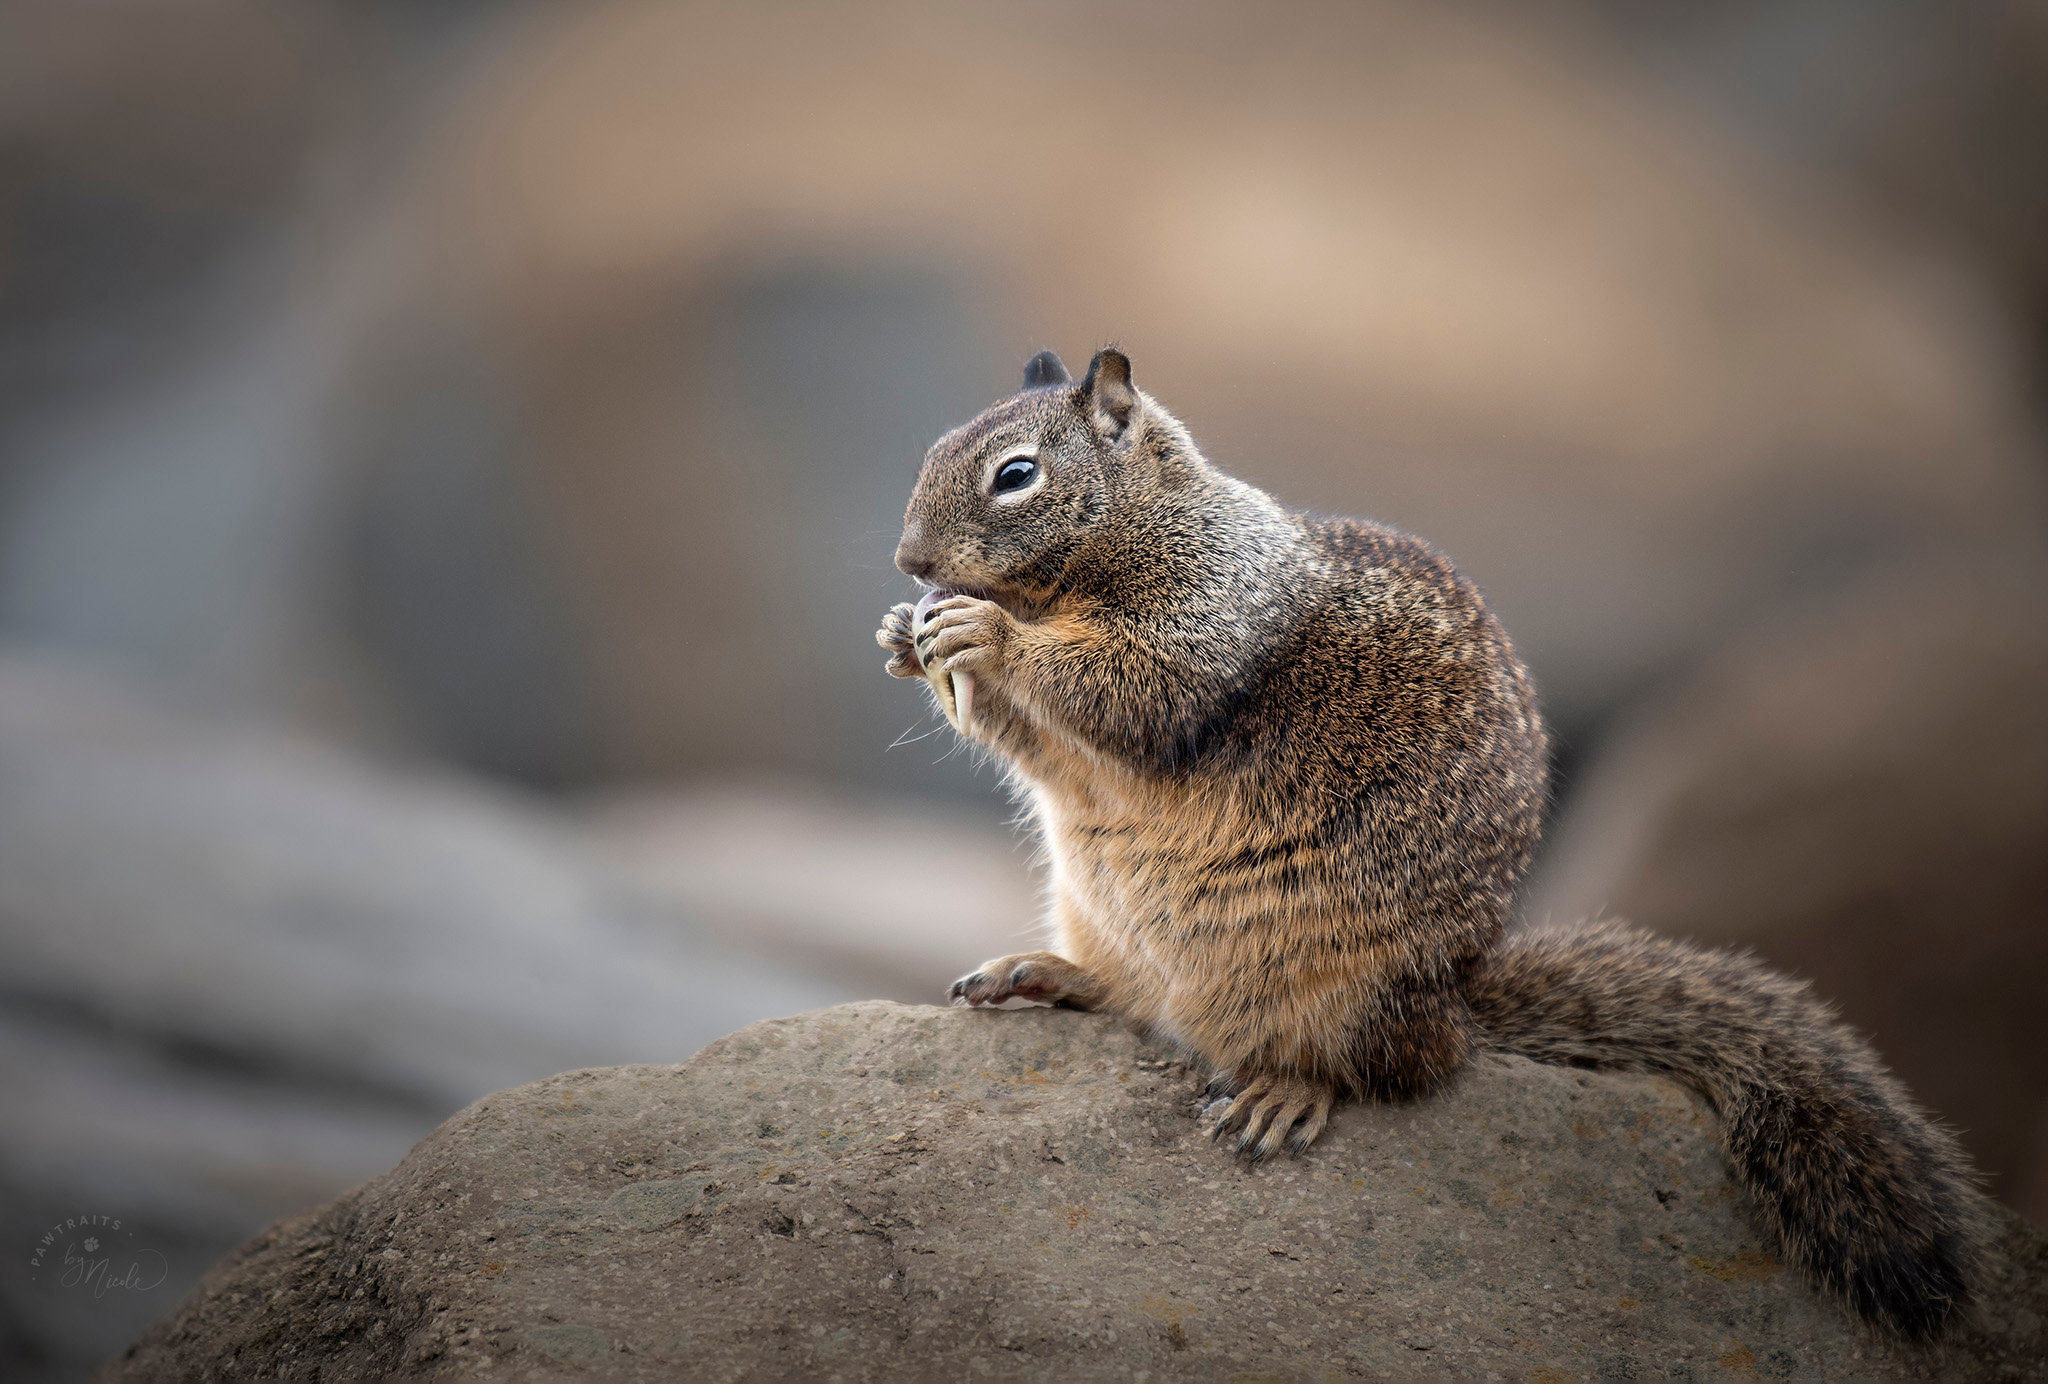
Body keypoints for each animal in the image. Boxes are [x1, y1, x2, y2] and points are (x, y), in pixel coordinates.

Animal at [874, 346, 1983, 1338]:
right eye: (931, 451)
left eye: (1017, 475)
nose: (909, 564)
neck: (1130, 537)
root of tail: (1455, 1009)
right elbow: (1041, 745)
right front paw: (902, 634)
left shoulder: (1205, 618)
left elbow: (1126, 688)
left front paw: (983, 635)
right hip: (1103, 918)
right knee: (1135, 1000)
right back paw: (1041, 972)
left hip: (1350, 990)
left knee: (1373, 1074)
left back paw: (1283, 1092)